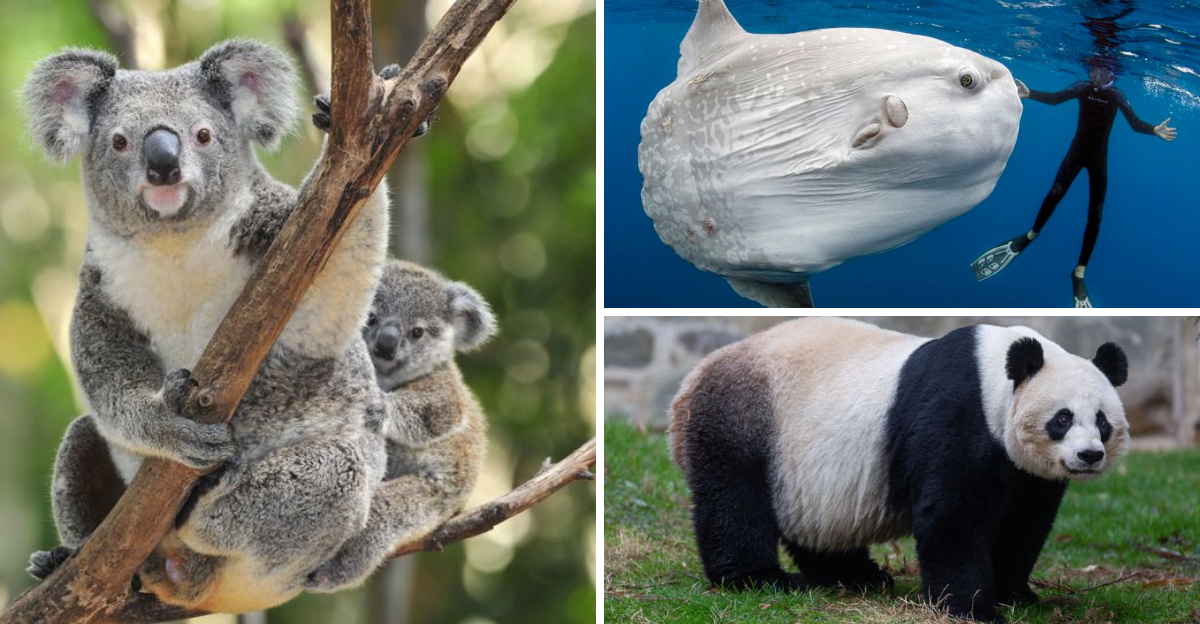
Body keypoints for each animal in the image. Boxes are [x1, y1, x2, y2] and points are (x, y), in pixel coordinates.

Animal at [669, 317, 1129, 624]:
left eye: (1102, 420)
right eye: (1063, 418)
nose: (1089, 455)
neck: (996, 379)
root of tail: (691, 380)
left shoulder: (1027, 474)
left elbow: (1023, 522)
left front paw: (1015, 593)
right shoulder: (957, 416)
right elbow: (953, 517)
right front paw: (973, 608)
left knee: (814, 526)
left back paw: (859, 577)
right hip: (741, 420)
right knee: (734, 502)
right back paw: (761, 579)